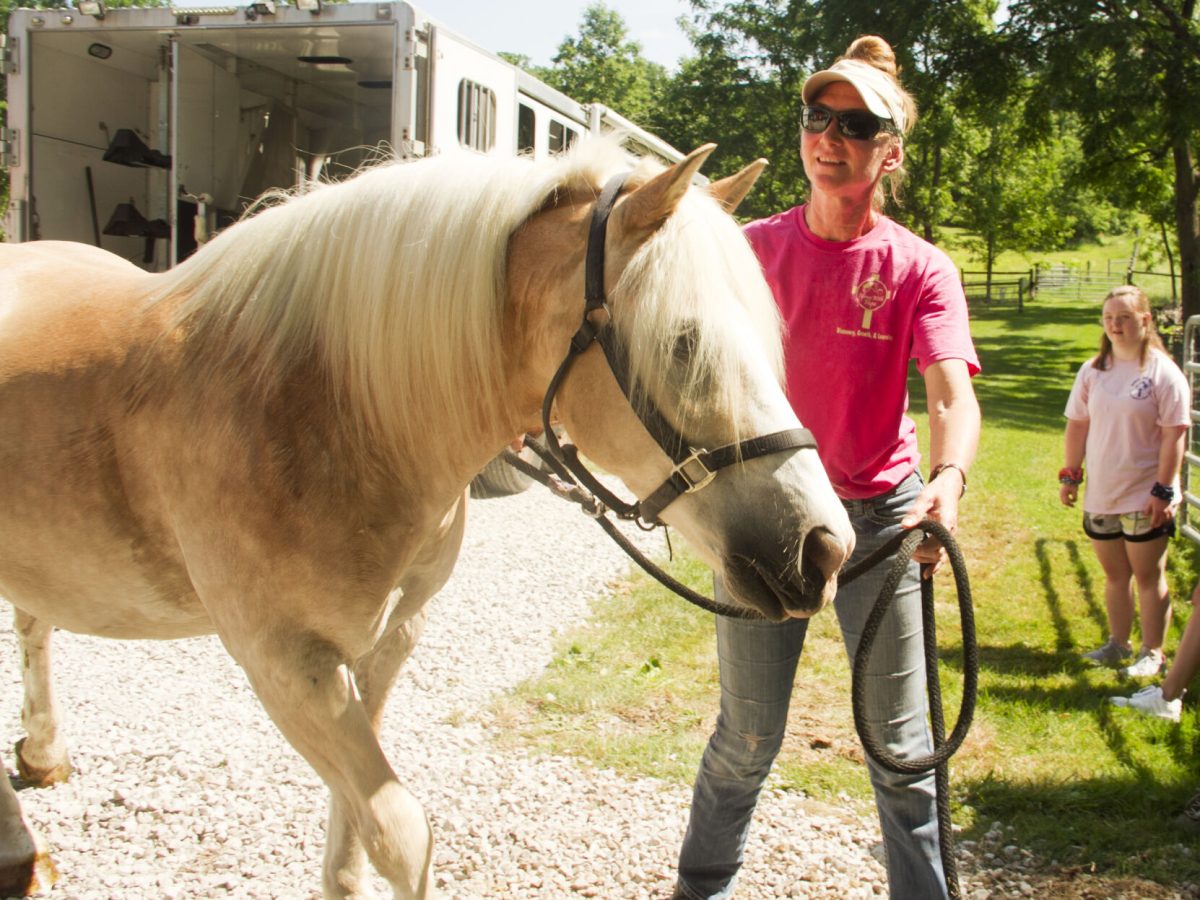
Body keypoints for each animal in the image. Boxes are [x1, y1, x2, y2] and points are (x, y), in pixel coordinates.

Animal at [0, 139, 855, 898]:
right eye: (683, 343)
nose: (825, 548)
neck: (328, 406)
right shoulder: (284, 663)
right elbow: (401, 836)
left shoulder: (386, 640)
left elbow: (355, 827)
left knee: (33, 620)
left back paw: (41, 757)